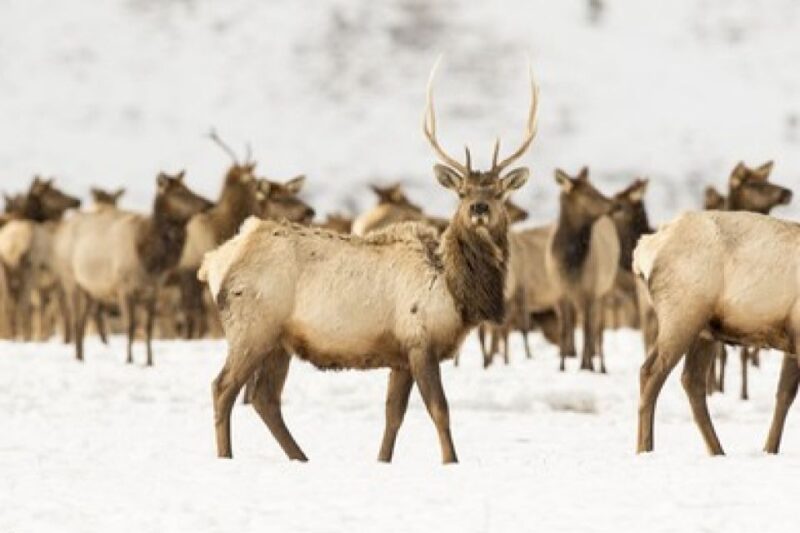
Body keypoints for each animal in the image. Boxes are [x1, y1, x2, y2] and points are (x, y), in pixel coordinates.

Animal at [56, 171, 211, 364]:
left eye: (188, 188)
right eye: (179, 193)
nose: (209, 203)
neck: (151, 262)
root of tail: (61, 229)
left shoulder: (152, 289)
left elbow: (148, 326)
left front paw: (150, 361)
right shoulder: (124, 287)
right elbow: (130, 325)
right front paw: (129, 359)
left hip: (90, 289)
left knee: (83, 320)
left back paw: (81, 356)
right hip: (70, 279)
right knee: (76, 319)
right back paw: (78, 357)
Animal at [198, 59, 538, 463]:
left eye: (499, 191)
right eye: (462, 192)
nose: (480, 208)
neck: (455, 292)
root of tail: (215, 260)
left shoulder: (401, 355)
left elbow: (393, 415)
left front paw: (382, 460)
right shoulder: (419, 341)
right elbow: (439, 410)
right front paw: (451, 461)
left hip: (279, 340)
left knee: (265, 398)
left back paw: (301, 457)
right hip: (252, 327)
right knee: (223, 388)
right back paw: (227, 456)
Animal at [546, 167, 620, 373]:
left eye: (595, 188)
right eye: (588, 192)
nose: (616, 204)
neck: (571, 263)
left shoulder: (590, 291)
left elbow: (588, 330)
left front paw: (586, 366)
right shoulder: (560, 292)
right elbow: (564, 329)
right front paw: (562, 366)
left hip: (606, 289)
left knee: (598, 328)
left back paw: (601, 366)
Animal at [634, 210, 800, 456]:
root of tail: (645, 247)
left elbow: (784, 394)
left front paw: (770, 450)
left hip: (704, 331)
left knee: (691, 380)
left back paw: (717, 451)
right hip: (682, 314)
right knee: (651, 371)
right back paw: (645, 449)